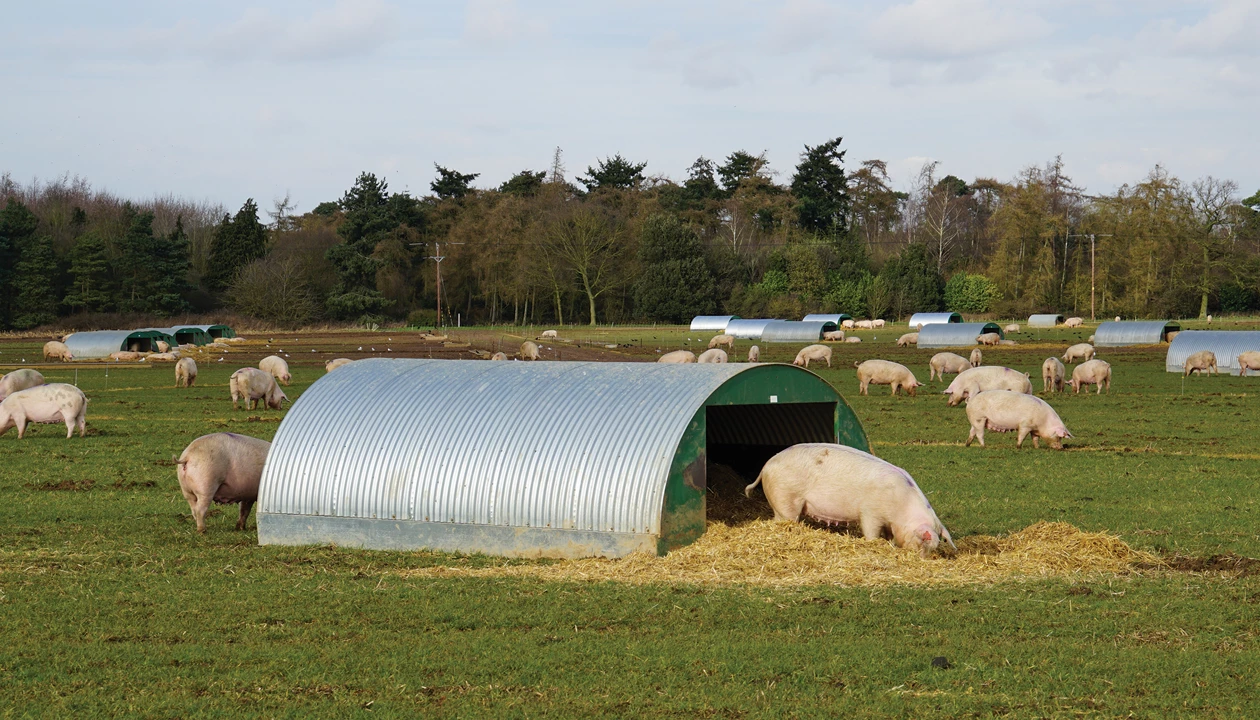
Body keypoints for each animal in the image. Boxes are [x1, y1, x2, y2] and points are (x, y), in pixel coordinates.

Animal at [744, 444, 955, 558]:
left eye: (935, 547)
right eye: (922, 542)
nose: (922, 559)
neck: (902, 507)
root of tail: (767, 465)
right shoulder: (870, 513)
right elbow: (871, 532)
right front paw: (874, 543)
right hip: (785, 502)